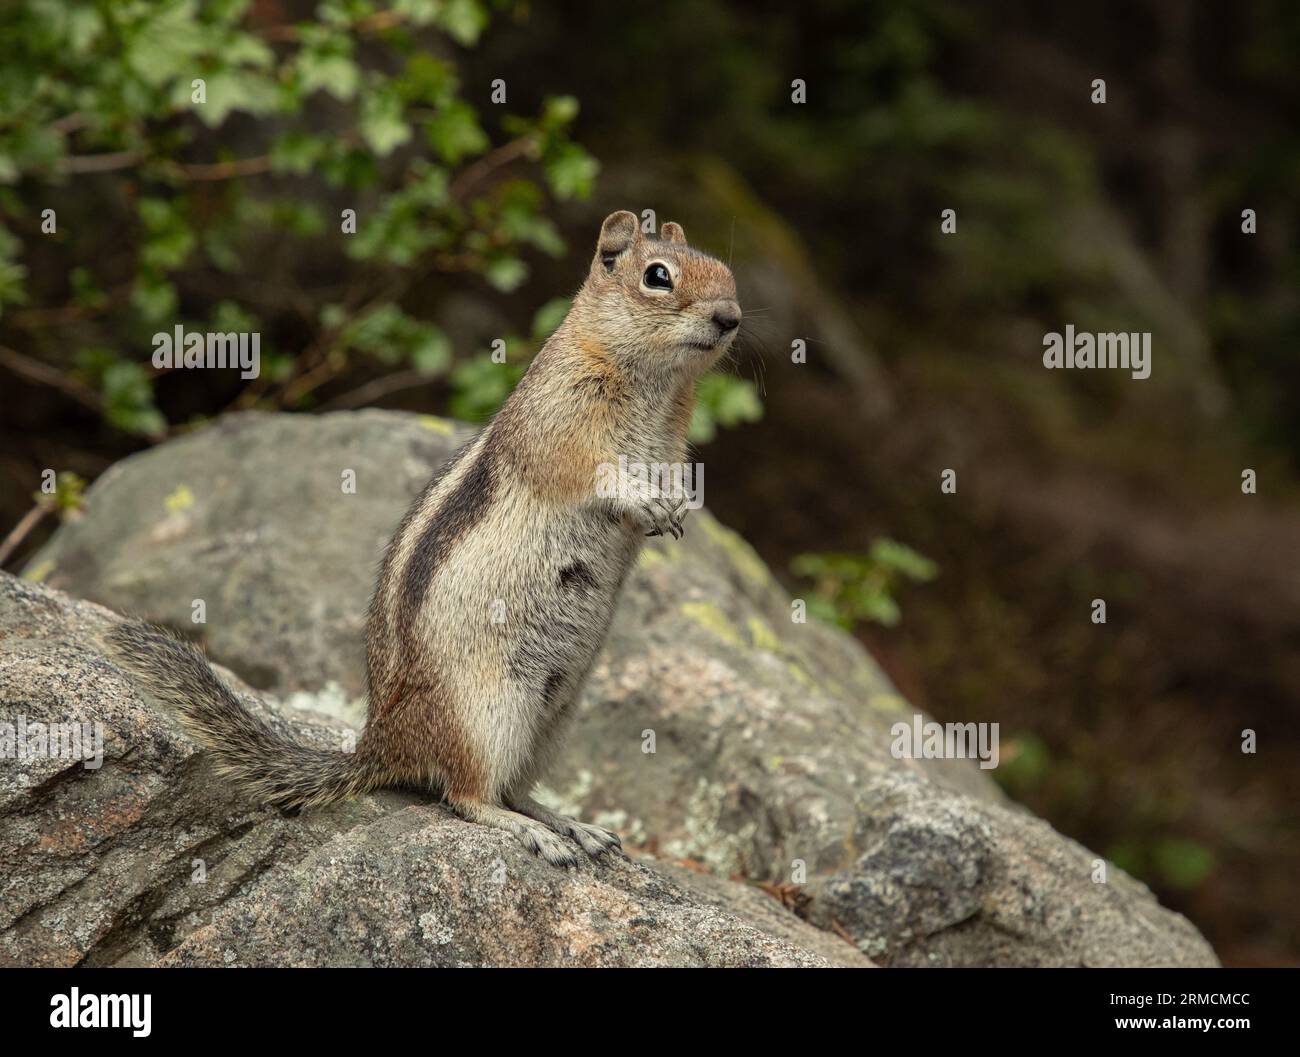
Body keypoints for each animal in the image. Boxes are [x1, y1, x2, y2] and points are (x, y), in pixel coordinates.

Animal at [106, 210, 741, 867]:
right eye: (658, 276)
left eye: (724, 269)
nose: (731, 317)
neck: (656, 386)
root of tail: (381, 744)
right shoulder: (558, 426)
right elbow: (590, 474)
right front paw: (648, 500)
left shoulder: (670, 447)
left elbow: (673, 479)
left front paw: (676, 504)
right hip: (489, 714)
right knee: (467, 795)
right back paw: (533, 832)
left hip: (555, 717)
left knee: (515, 788)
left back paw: (570, 823)